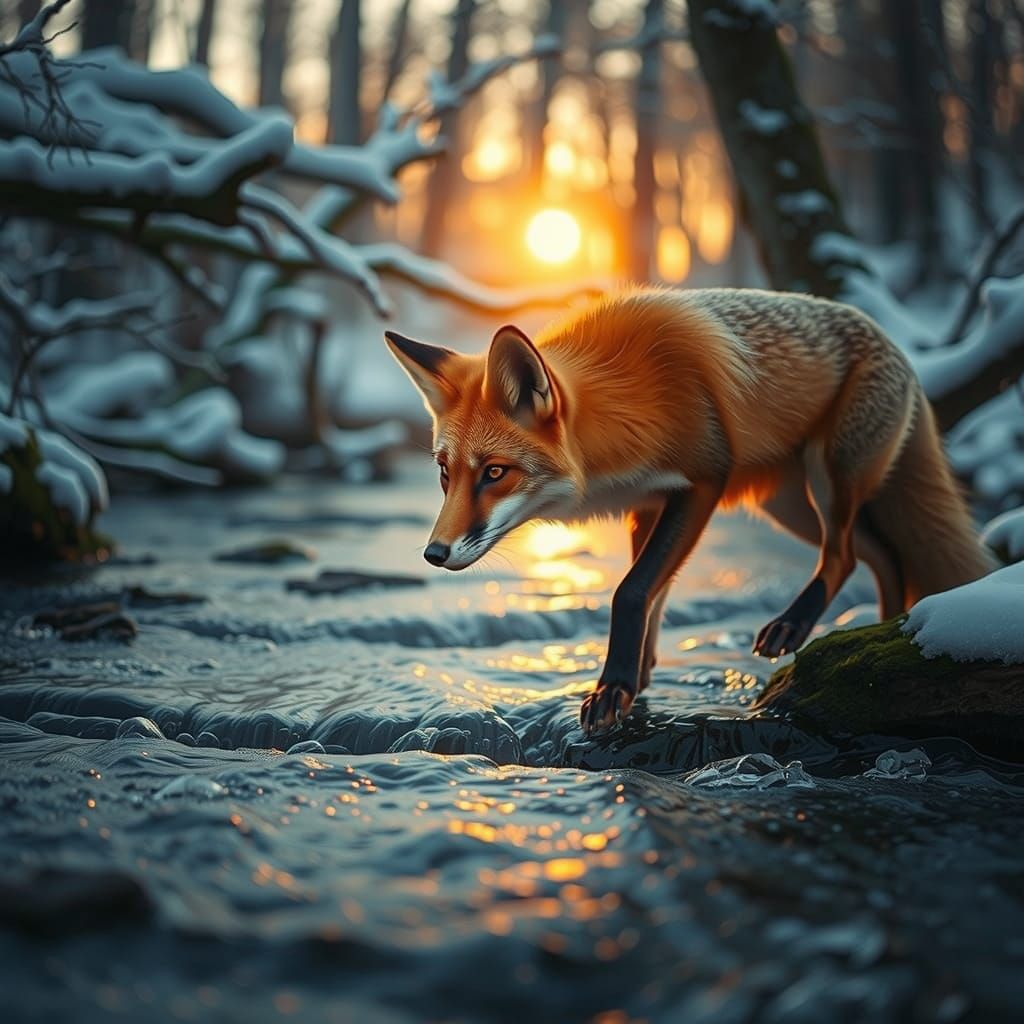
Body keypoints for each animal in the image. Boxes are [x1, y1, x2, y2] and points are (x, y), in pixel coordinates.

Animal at [384, 288, 996, 735]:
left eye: (494, 472)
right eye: (445, 474)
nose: (434, 553)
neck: (630, 402)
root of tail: (899, 348)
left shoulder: (702, 482)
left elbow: (631, 591)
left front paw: (613, 687)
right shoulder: (646, 503)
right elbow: (652, 596)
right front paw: (635, 679)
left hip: (828, 480)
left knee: (843, 554)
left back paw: (794, 626)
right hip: (790, 505)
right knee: (882, 556)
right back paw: (882, 623)